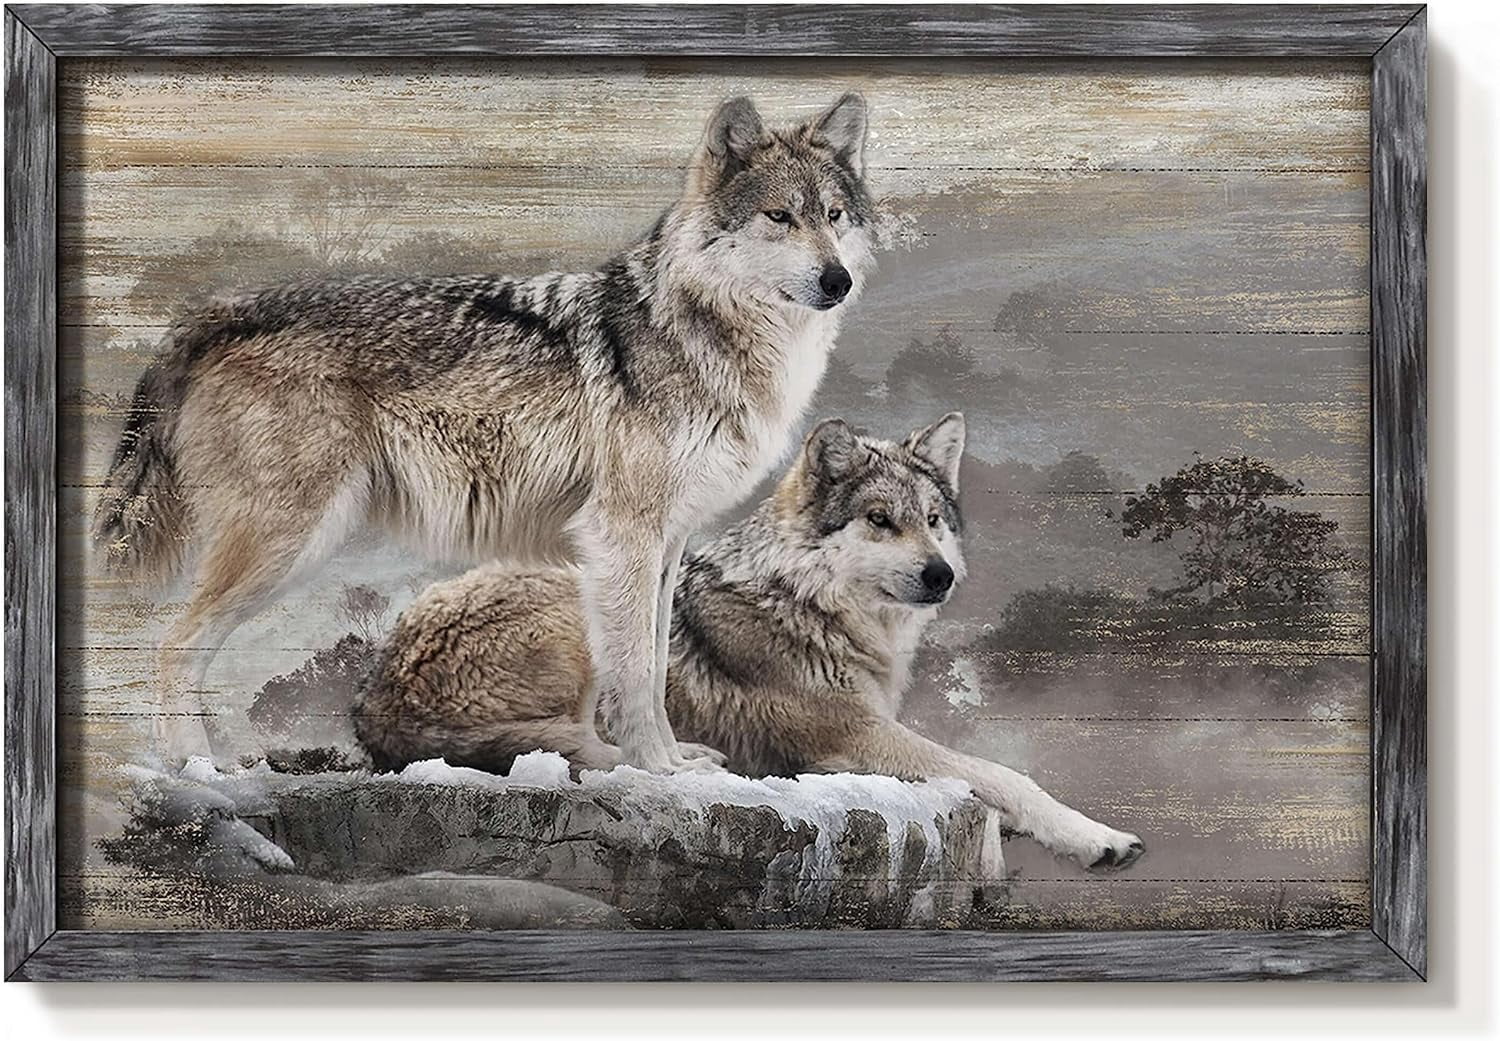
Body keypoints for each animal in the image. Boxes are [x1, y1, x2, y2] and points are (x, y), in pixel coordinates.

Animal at [94, 93, 878, 772]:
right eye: (779, 216)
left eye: (834, 215)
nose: (837, 281)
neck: (709, 333)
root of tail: (221, 309)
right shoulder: (621, 535)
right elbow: (633, 675)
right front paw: (658, 768)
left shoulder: (667, 542)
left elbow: (656, 669)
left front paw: (675, 760)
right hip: (290, 542)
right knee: (172, 647)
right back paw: (194, 765)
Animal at [354, 415, 1146, 870]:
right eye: (879, 519)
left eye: (932, 520)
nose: (941, 574)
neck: (809, 604)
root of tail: (372, 701)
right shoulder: (855, 735)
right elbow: (1003, 774)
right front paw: (1095, 835)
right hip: (583, 611)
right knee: (596, 753)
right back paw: (690, 762)